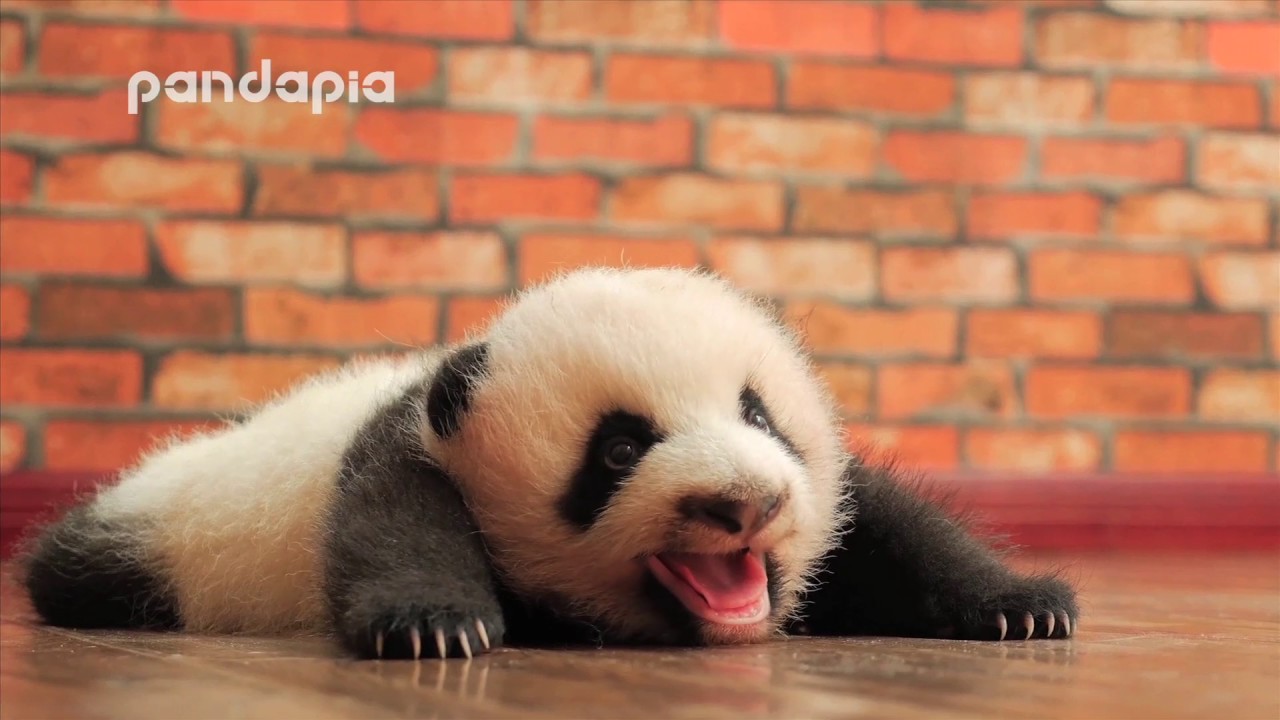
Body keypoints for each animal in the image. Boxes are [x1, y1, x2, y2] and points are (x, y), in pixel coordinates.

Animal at [18, 266, 1078, 660]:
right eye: (618, 449)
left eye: (757, 414)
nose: (745, 502)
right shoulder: (410, 444)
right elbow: (393, 525)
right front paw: (437, 627)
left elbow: (890, 524)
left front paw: (1021, 605)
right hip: (162, 530)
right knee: (81, 568)